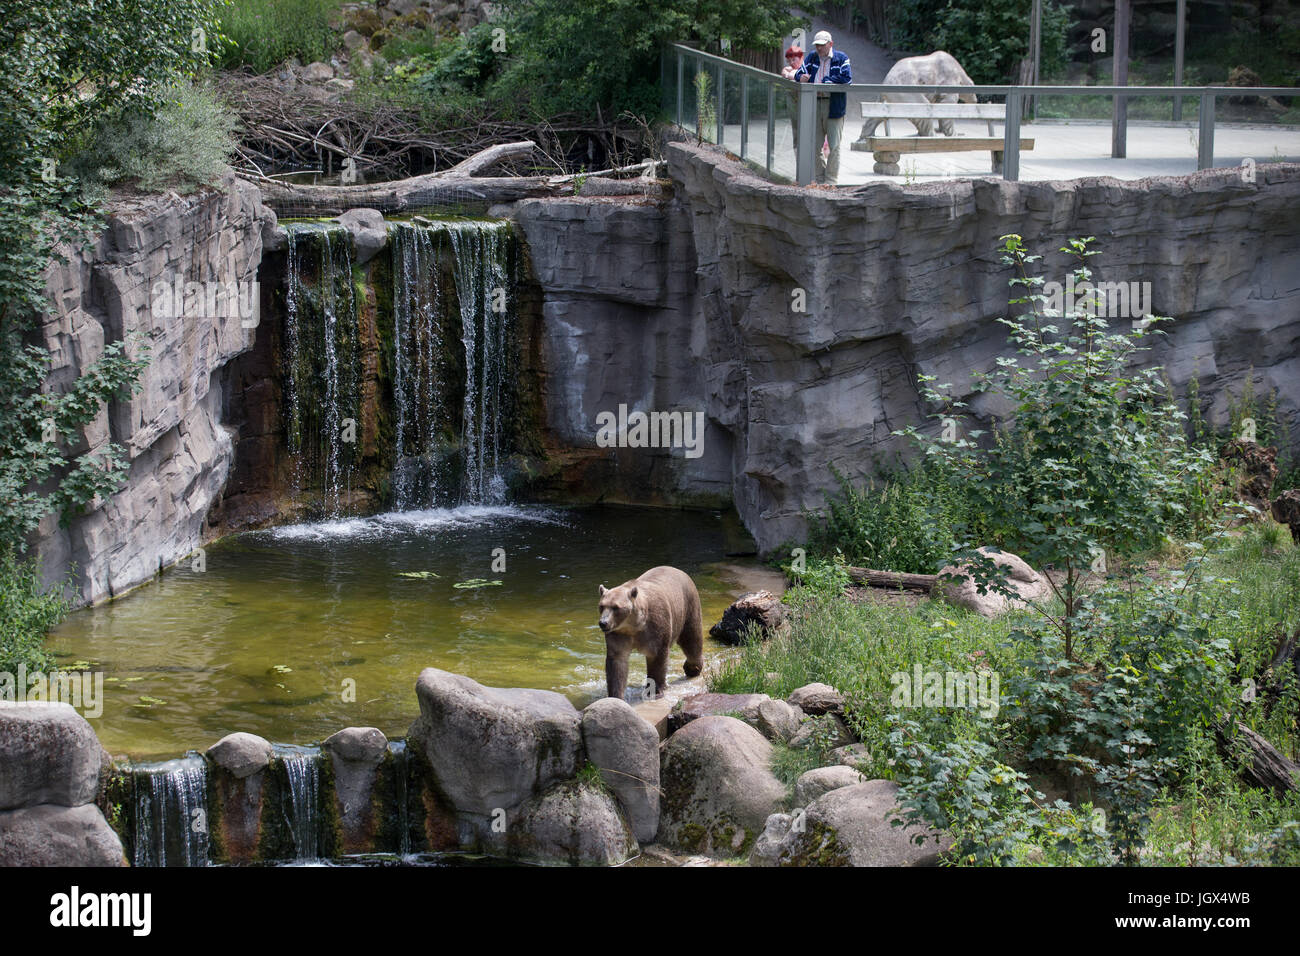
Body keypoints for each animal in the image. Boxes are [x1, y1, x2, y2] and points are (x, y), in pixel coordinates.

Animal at [598, 565, 704, 701]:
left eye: (616, 607)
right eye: (601, 606)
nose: (603, 623)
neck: (635, 626)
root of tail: (679, 571)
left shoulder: (656, 628)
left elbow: (657, 657)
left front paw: (655, 691)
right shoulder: (619, 634)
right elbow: (617, 662)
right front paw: (616, 695)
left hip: (687, 608)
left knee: (691, 640)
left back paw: (692, 668)